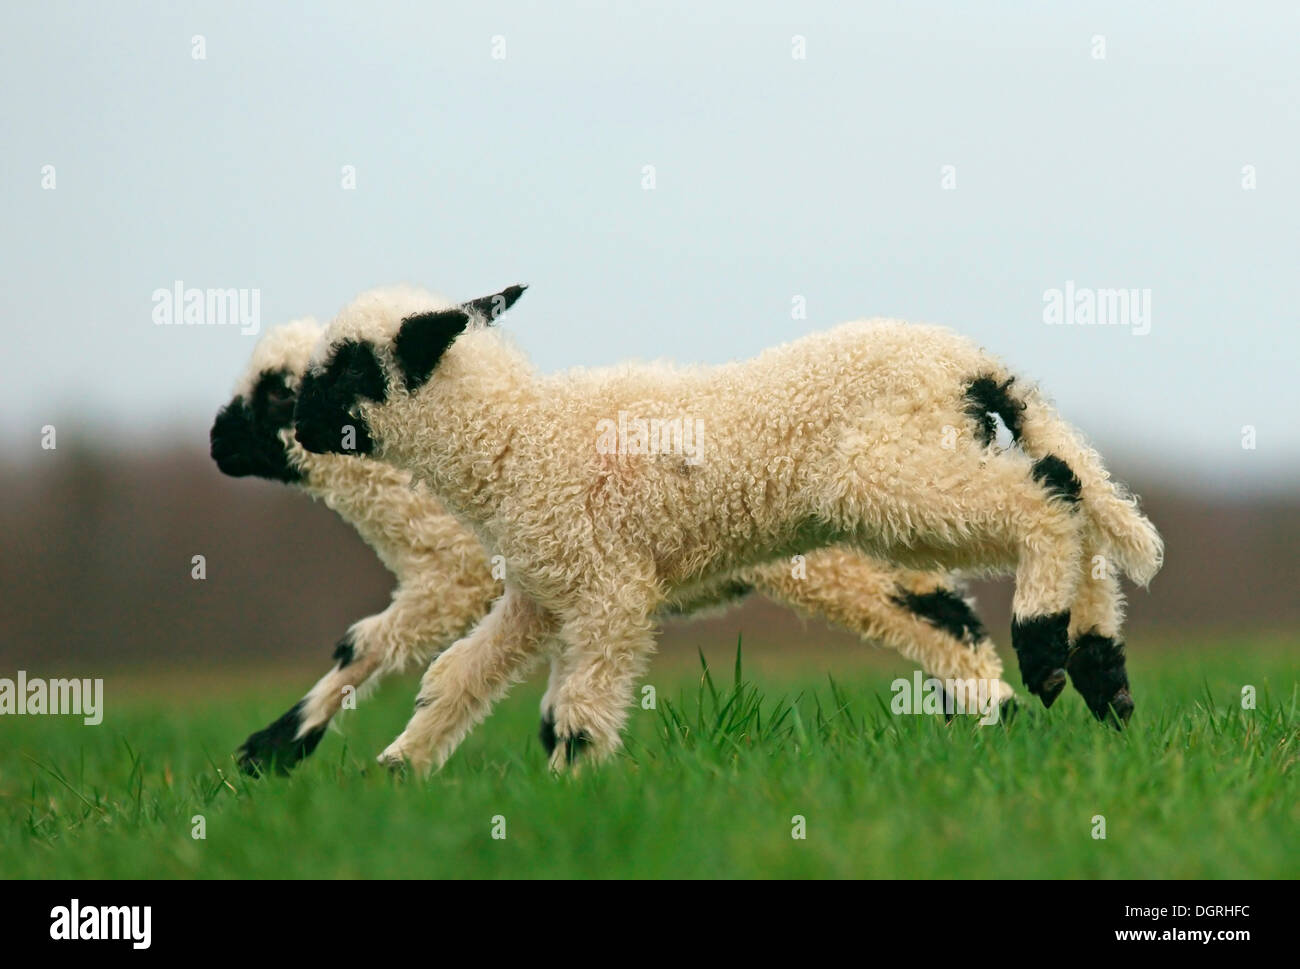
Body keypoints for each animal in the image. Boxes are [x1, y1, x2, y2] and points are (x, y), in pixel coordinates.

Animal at [292, 284, 1162, 774]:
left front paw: (573, 792)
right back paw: (1099, 671)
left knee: (1044, 496)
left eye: (349, 368)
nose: (297, 426)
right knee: (1070, 484)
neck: (516, 438)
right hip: (927, 457)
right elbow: (459, 676)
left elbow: (575, 711)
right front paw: (399, 769)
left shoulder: (607, 590)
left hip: (886, 476)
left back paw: (1044, 639)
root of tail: (971, 364)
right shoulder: (545, 590)